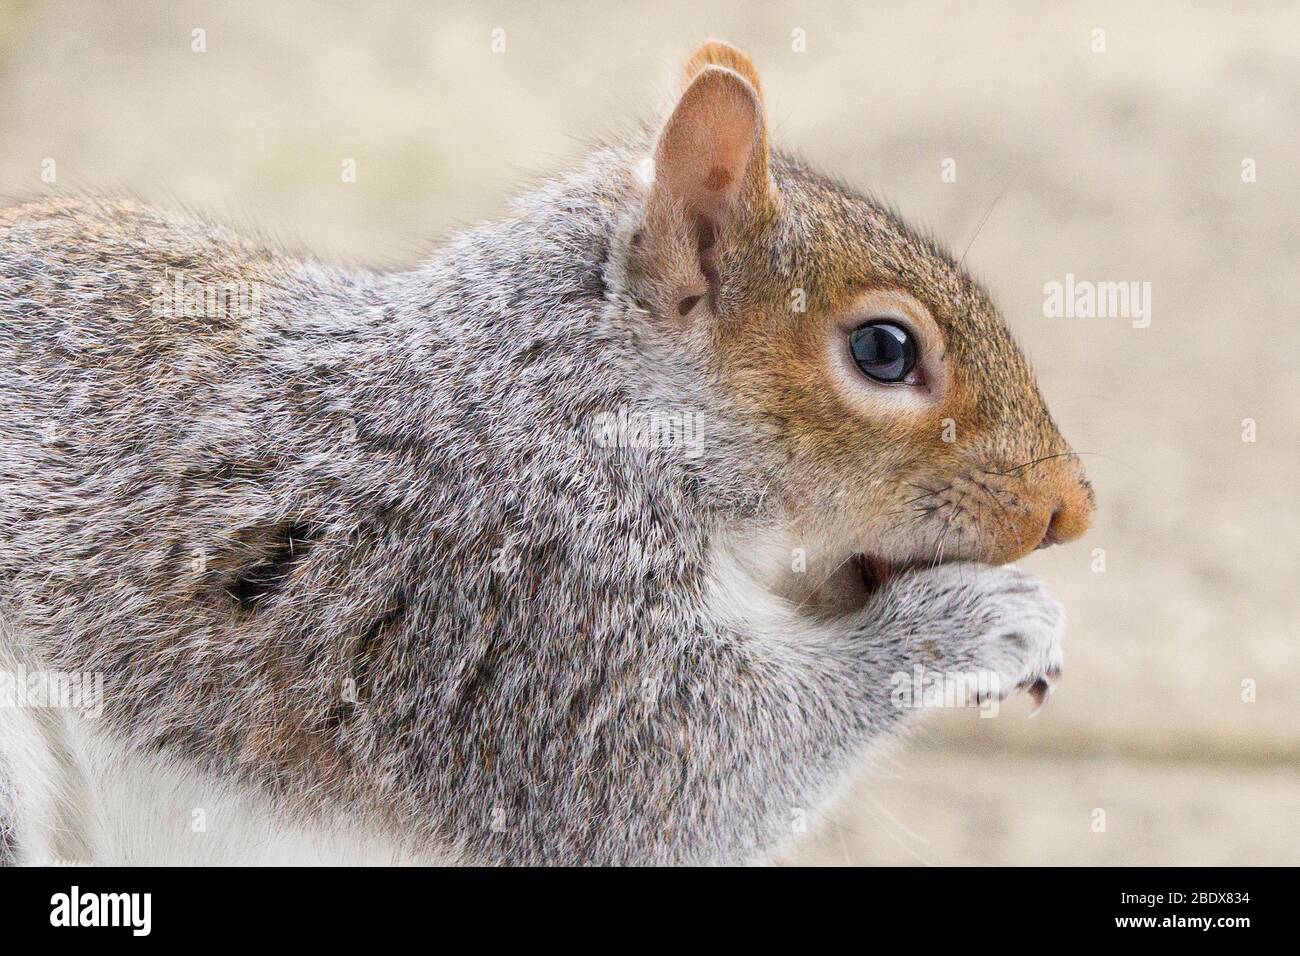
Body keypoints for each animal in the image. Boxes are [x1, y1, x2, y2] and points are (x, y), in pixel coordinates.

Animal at [0, 41, 1093, 865]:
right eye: (883, 349)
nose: (1070, 508)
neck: (563, 413)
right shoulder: (523, 615)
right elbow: (697, 776)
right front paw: (983, 620)